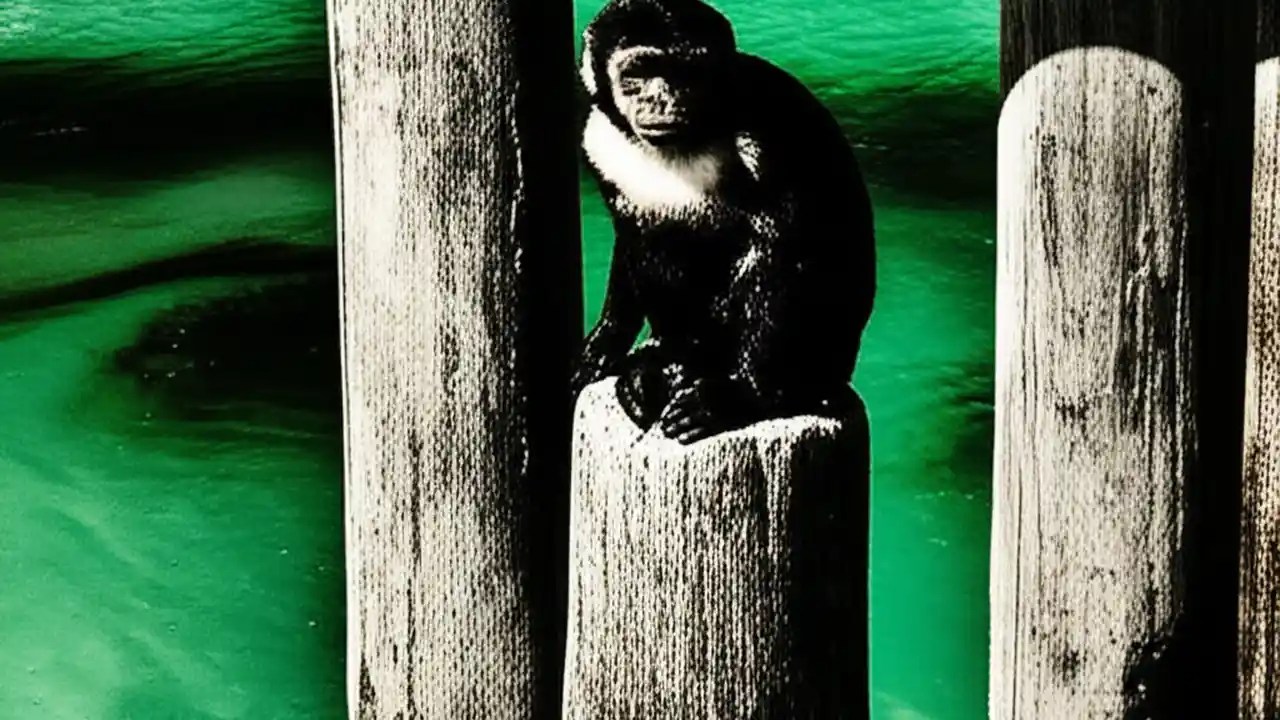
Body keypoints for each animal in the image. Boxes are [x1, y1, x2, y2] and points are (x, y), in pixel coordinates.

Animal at [571, 0, 876, 445]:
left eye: (689, 73)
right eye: (638, 73)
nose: (664, 100)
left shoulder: (769, 134)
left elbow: (785, 249)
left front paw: (740, 398)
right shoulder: (598, 139)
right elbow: (628, 235)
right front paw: (601, 348)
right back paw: (663, 364)